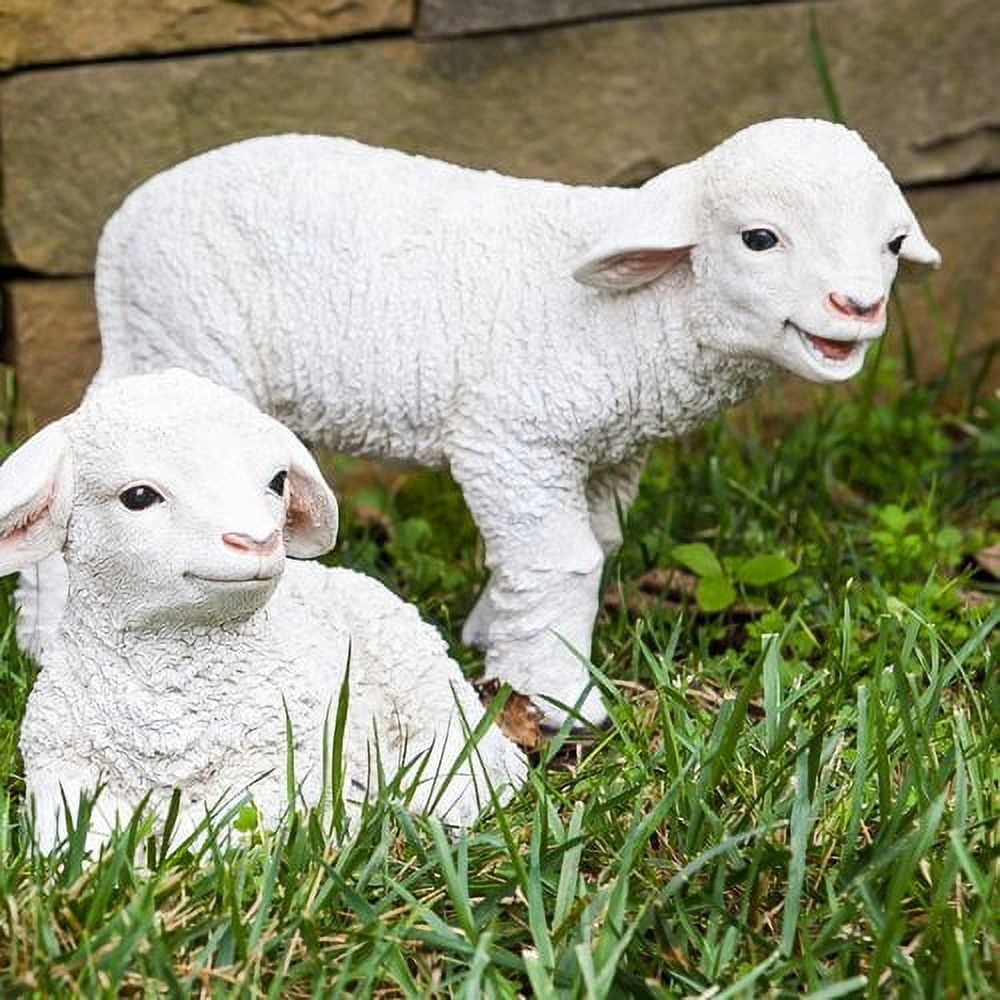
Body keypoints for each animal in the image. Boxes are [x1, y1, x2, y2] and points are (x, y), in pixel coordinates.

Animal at [2, 370, 526, 853]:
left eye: (277, 482)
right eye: (138, 496)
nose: (257, 541)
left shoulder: (281, 771)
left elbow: (207, 836)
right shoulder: (58, 762)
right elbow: (71, 834)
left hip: (421, 676)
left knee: (472, 749)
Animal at [21, 117, 941, 728]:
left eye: (895, 244)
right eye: (758, 239)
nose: (857, 307)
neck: (644, 317)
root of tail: (121, 229)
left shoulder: (604, 452)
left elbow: (590, 544)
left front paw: (493, 633)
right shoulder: (512, 438)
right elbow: (563, 559)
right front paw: (555, 696)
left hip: (150, 337)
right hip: (186, 334)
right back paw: (43, 640)